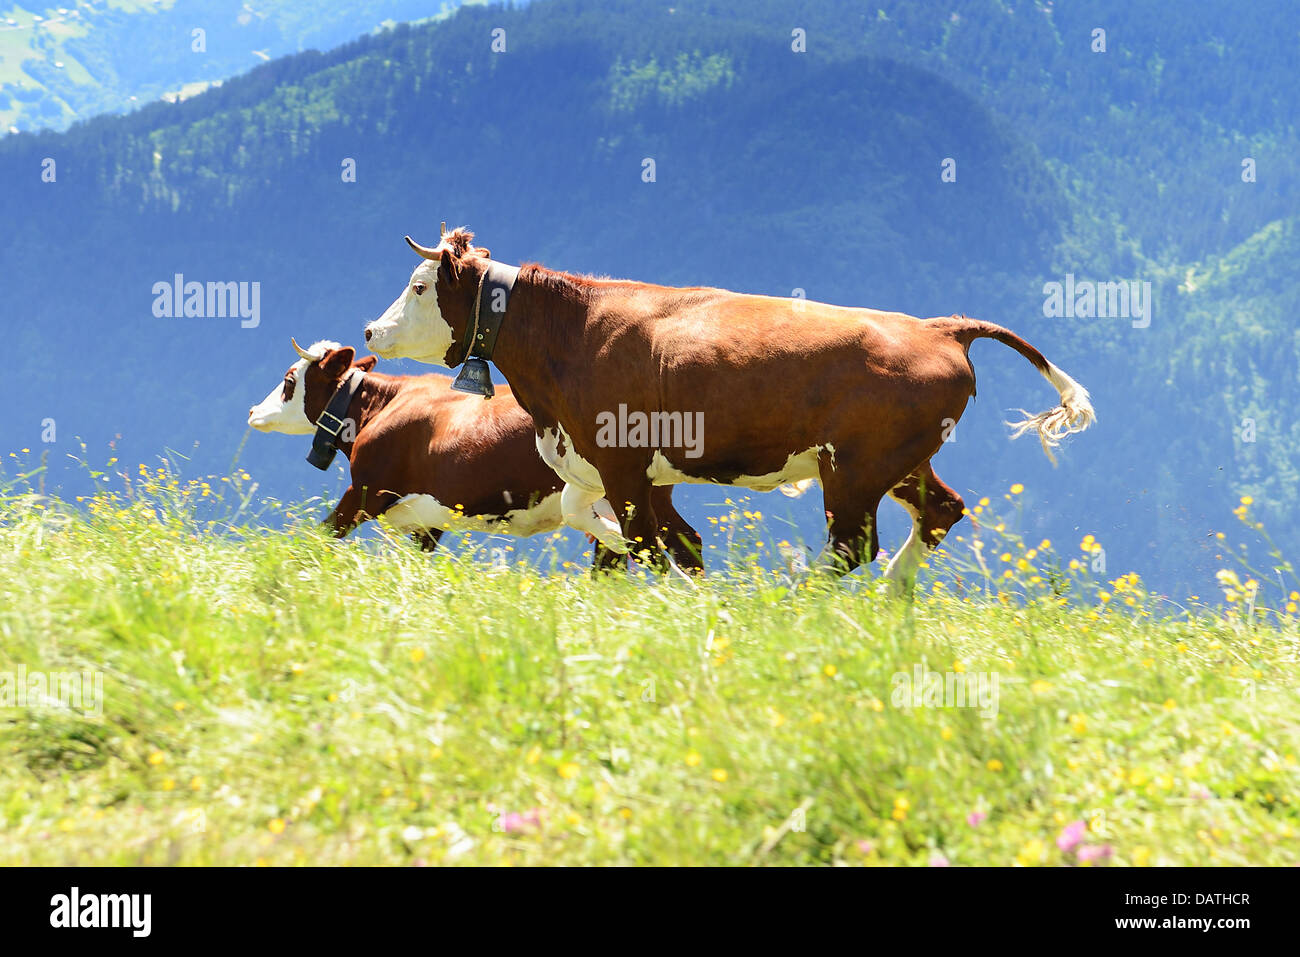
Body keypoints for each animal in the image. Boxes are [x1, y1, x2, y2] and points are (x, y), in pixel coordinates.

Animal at [247, 339, 702, 569]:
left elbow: (321, 535)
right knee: (663, 546)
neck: (383, 406)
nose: (253, 411)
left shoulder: (365, 492)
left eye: (289, 380)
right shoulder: (428, 521)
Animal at [363, 227, 1095, 586]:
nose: (369, 332)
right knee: (940, 510)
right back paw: (892, 599)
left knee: (852, 545)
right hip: (902, 461)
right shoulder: (612, 465)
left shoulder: (622, 462)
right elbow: (630, 531)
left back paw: (805, 608)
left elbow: (646, 542)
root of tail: (940, 327)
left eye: (420, 285)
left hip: (854, 468)